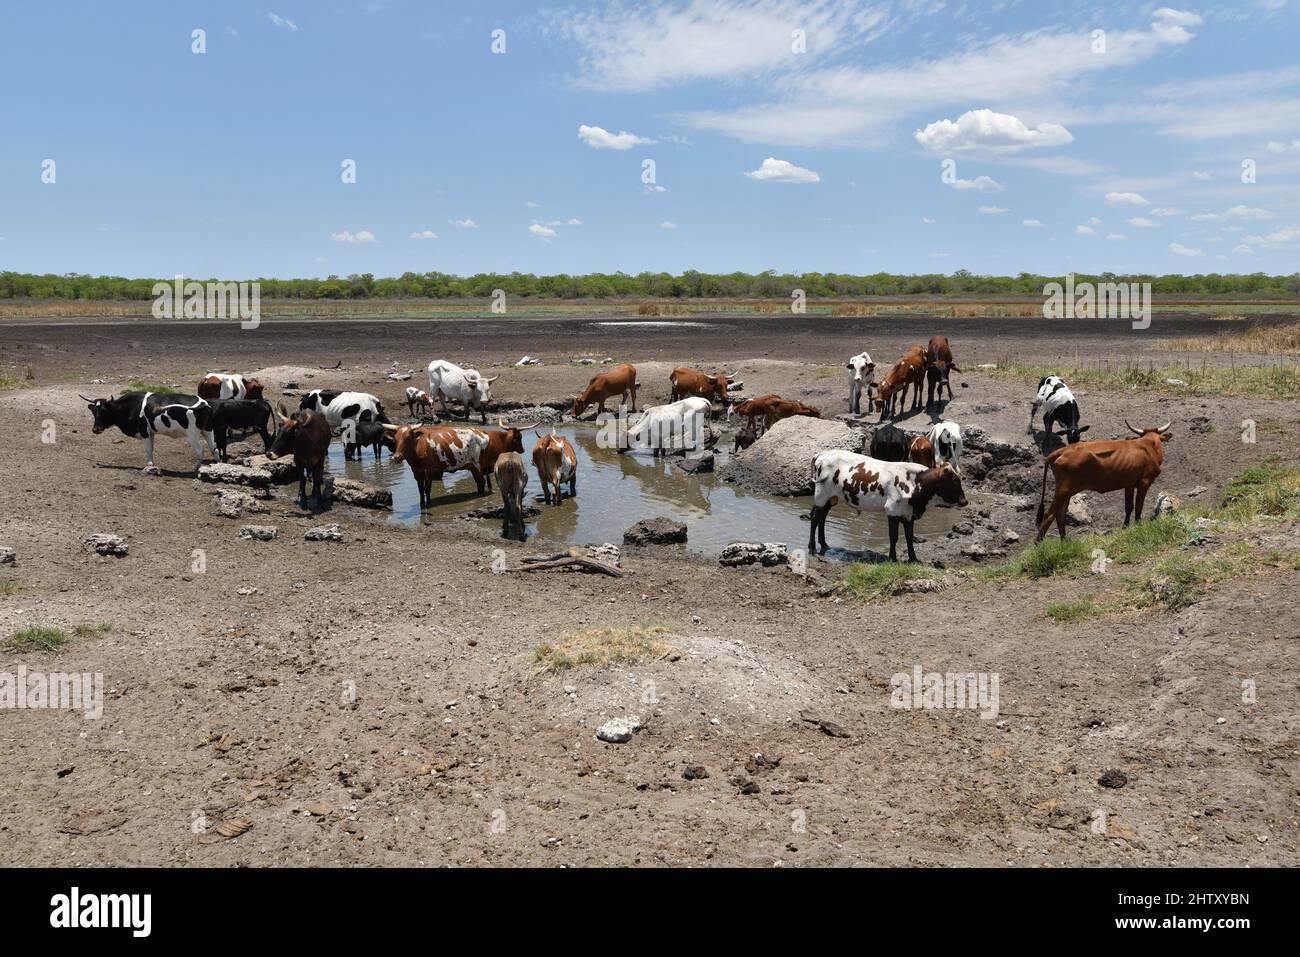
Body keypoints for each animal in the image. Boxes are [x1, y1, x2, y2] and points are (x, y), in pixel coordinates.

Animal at [83, 390, 216, 473]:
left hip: (192, 434)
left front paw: (150, 466)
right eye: (94, 412)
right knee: (214, 449)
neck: (132, 406)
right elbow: (151, 448)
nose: (95, 429)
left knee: (200, 450)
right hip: (207, 430)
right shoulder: (151, 432)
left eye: (104, 411)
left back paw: (195, 469)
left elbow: (148, 449)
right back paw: (217, 465)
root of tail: (203, 402)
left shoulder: (144, 431)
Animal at [809, 452, 968, 561]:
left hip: (830, 498)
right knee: (815, 518)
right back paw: (812, 548)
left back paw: (824, 544)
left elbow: (909, 537)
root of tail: (822, 454)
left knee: (822, 518)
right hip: (821, 495)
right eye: (953, 482)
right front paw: (893, 558)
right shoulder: (892, 510)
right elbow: (894, 536)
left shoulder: (908, 514)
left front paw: (913, 559)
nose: (965, 501)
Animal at [1036, 420, 1172, 542]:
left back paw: (1065, 542)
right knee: (1049, 515)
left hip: (1066, 491)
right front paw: (1138, 526)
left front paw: (1125, 527)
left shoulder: (1129, 484)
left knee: (1060, 515)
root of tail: (1063, 450)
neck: (1149, 444)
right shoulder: (1144, 482)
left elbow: (1128, 507)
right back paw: (1038, 544)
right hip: (1063, 490)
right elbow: (1139, 507)